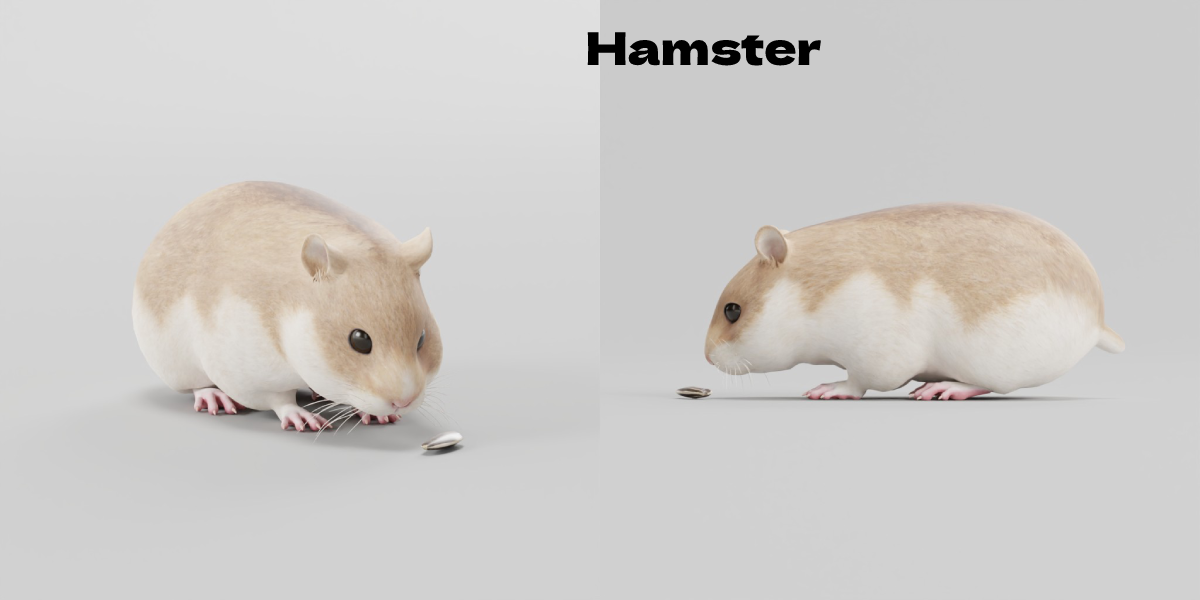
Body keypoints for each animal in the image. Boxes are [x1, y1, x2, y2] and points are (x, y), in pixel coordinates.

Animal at [132, 182, 442, 430]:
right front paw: (303, 418)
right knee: (196, 385)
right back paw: (214, 397)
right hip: (174, 362)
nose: (404, 402)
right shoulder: (247, 370)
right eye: (359, 340)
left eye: (422, 339)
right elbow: (278, 399)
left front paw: (376, 415)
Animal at [704, 203, 1123, 400]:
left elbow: (861, 381)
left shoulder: (876, 352)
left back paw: (943, 389)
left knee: (988, 386)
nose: (707, 357)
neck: (809, 294)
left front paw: (829, 388)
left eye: (732, 311)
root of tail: (1097, 323)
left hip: (991, 360)